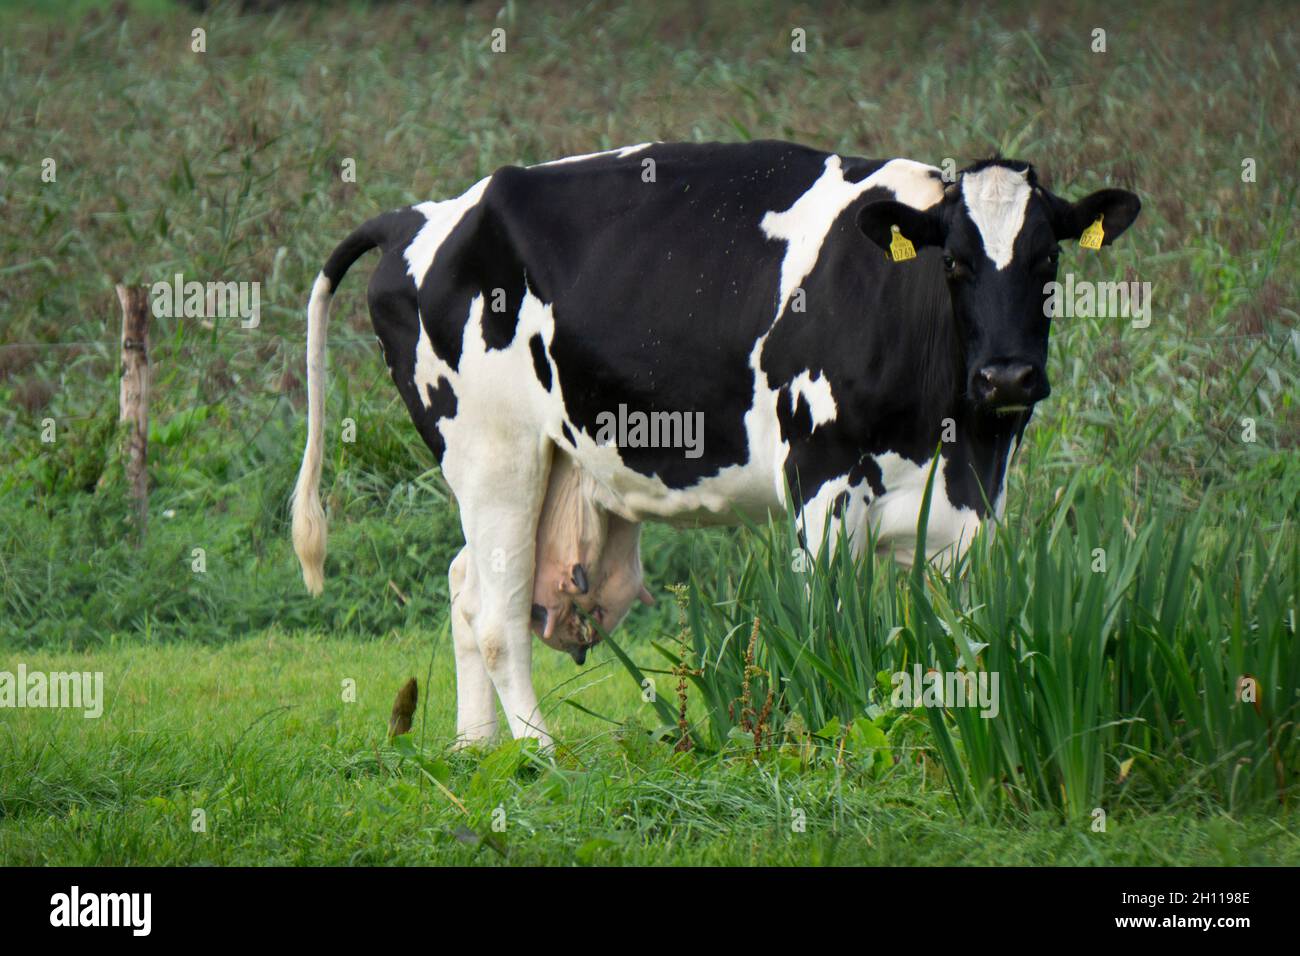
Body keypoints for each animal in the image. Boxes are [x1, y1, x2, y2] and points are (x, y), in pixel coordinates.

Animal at [291, 140, 1140, 748]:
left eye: (1048, 257)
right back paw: (539, 756)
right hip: (494, 452)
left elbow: (957, 634)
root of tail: (421, 215)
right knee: (497, 617)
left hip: (541, 462)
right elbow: (828, 626)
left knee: (466, 585)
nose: (1007, 375)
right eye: (956, 262)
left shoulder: (973, 502)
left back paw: (477, 751)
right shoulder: (820, 481)